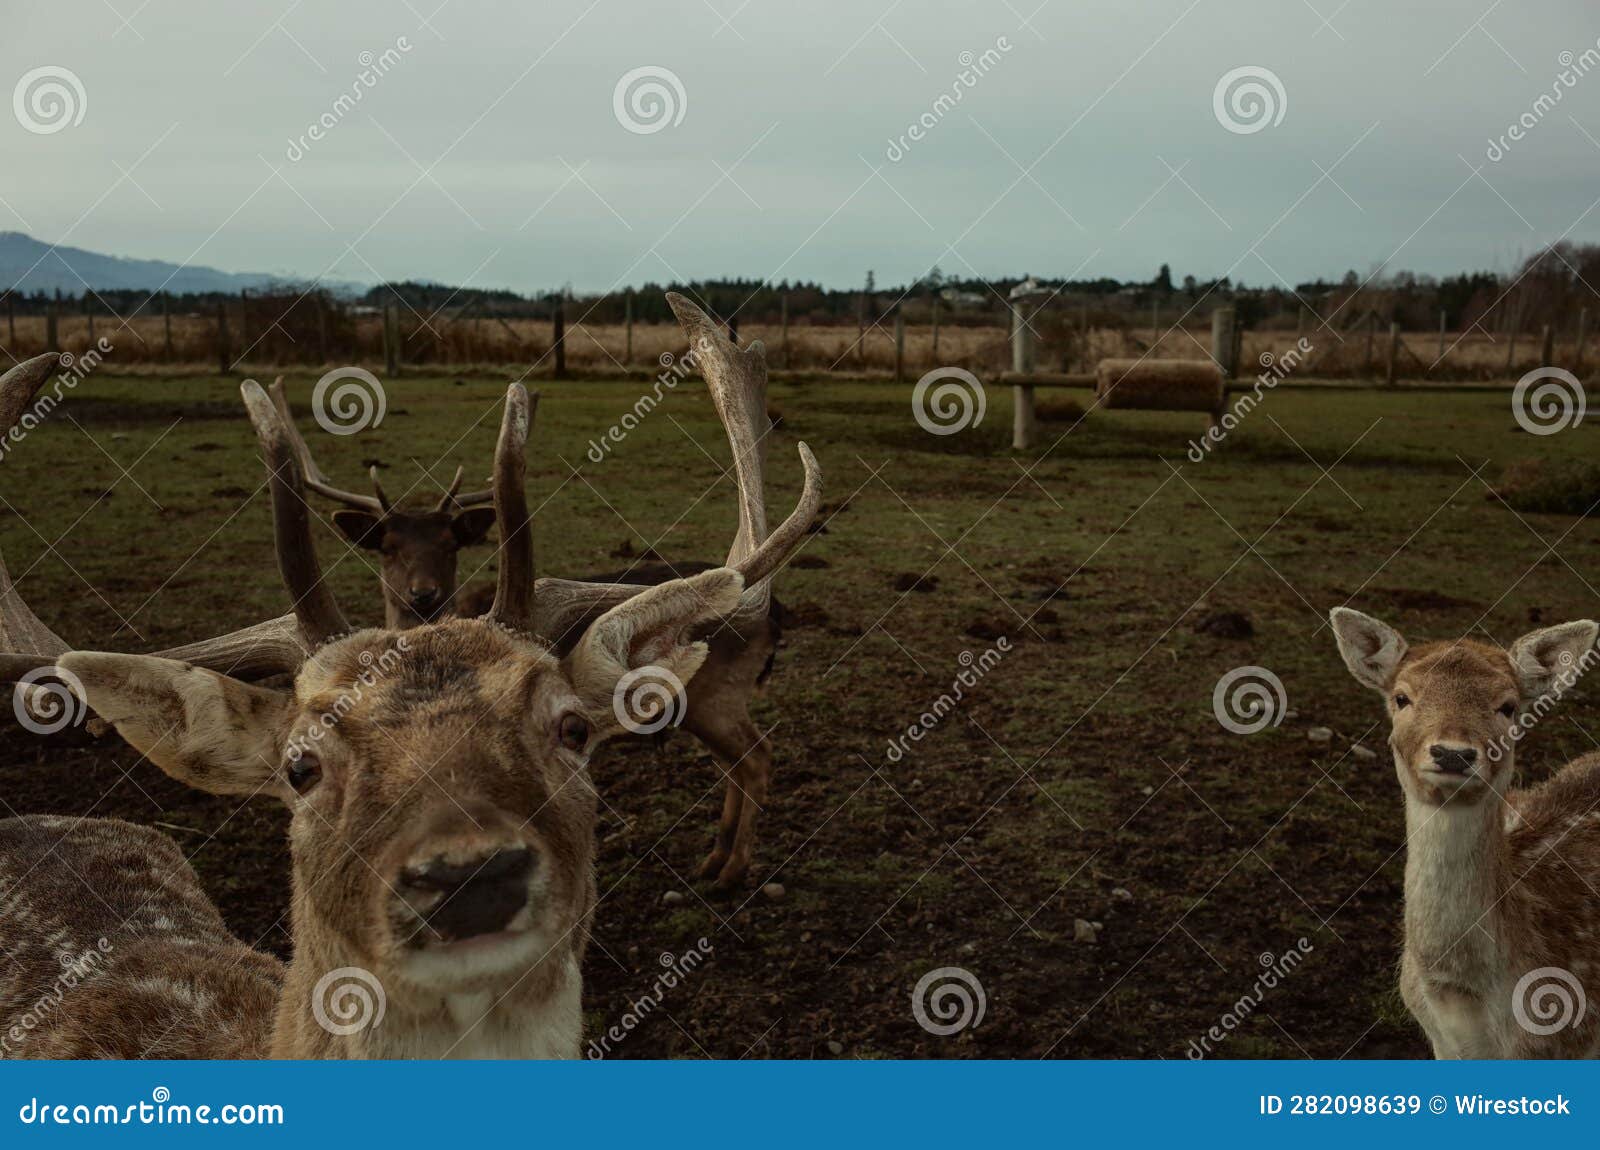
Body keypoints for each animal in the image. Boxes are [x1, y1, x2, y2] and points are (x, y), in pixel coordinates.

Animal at [269, 293, 793, 891]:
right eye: (389, 546)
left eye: (450, 543)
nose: (422, 594)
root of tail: (775, 615)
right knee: (737, 764)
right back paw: (716, 856)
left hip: (717, 693)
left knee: (757, 756)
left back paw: (731, 869)